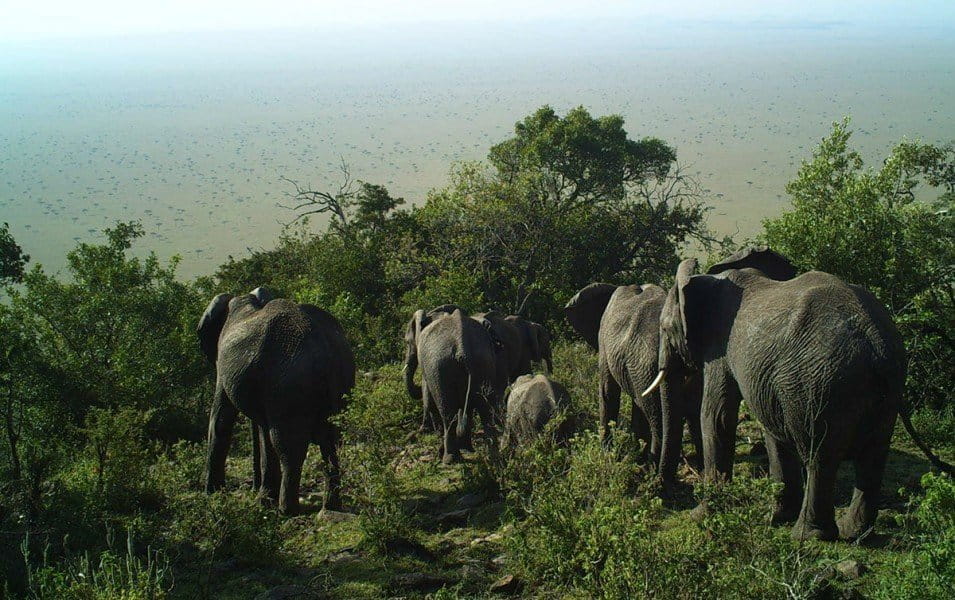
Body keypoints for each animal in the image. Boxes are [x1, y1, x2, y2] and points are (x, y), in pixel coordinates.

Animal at [197, 287, 355, 515]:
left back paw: (286, 510)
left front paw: (212, 494)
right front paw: (263, 498)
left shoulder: (222, 366)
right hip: (340, 380)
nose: (253, 486)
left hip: (290, 386)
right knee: (331, 440)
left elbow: (220, 421)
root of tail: (325, 351)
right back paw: (331, 506)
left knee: (288, 446)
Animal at [405, 308, 507, 463]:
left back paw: (449, 458)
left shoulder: (428, 369)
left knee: (447, 412)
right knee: (485, 410)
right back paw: (494, 458)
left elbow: (428, 399)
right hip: (482, 362)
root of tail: (462, 346)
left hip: (440, 367)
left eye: (407, 342)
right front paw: (466, 447)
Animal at [565, 282, 703, 476]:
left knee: (657, 416)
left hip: (645, 365)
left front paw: (607, 454)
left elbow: (607, 392)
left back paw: (653, 471)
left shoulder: (604, 342)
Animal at [645, 249, 914, 540]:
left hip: (819, 385)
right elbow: (771, 430)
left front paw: (700, 515)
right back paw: (855, 533)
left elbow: (716, 417)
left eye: (664, 328)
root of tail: (875, 341)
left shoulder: (719, 349)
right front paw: (775, 517)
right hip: (882, 386)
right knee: (872, 457)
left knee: (819, 456)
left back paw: (808, 536)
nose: (662, 488)